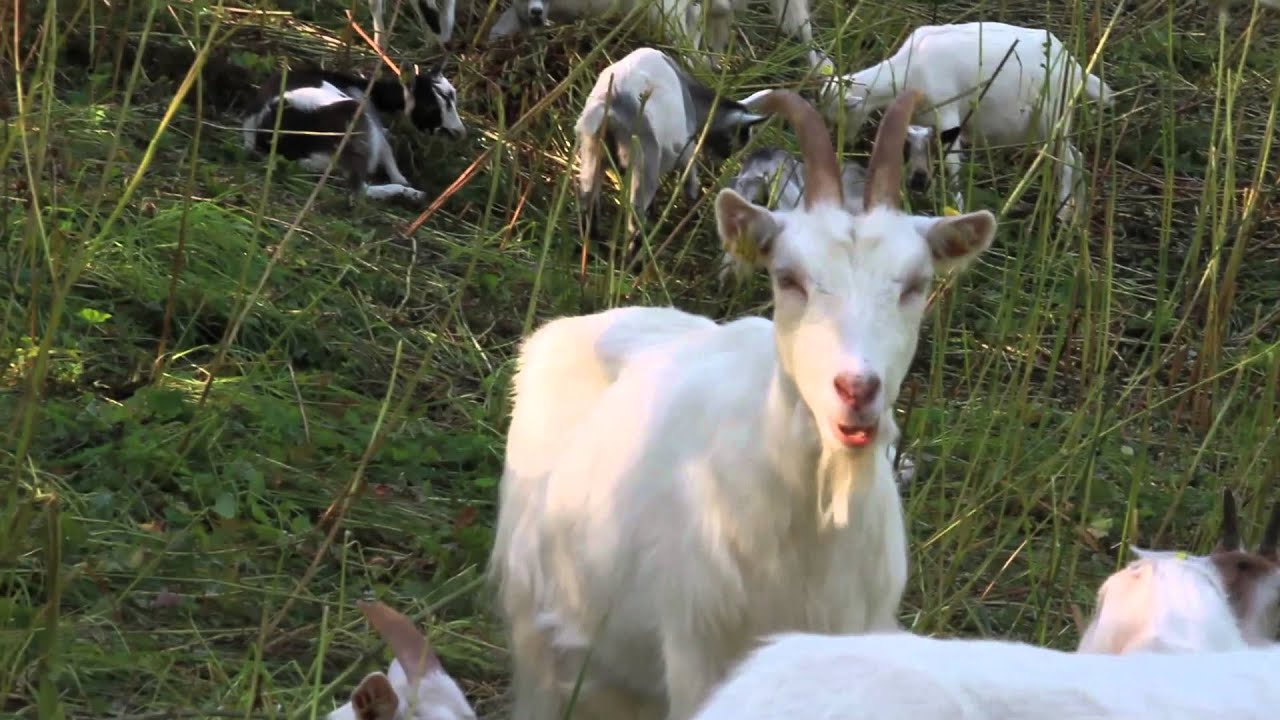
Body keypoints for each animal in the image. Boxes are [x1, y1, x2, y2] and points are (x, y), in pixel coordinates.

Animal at [242, 64, 465, 204]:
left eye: (453, 97)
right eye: (430, 107)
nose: (459, 132)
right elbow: (386, 146)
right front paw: (402, 179)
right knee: (359, 189)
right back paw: (412, 194)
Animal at [574, 47, 766, 262]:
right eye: (739, 140)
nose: (722, 162)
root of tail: (610, 103)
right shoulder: (687, 147)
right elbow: (690, 183)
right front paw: (694, 219)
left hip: (592, 150)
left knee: (588, 200)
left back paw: (592, 247)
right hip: (644, 156)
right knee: (635, 216)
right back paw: (634, 260)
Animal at [820, 21, 1113, 223]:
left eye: (841, 117)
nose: (844, 145)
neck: (906, 71)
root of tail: (1075, 67)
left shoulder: (948, 115)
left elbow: (952, 170)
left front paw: (957, 210)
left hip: (1052, 117)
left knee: (1069, 159)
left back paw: (1063, 213)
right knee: (1075, 157)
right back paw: (1075, 213)